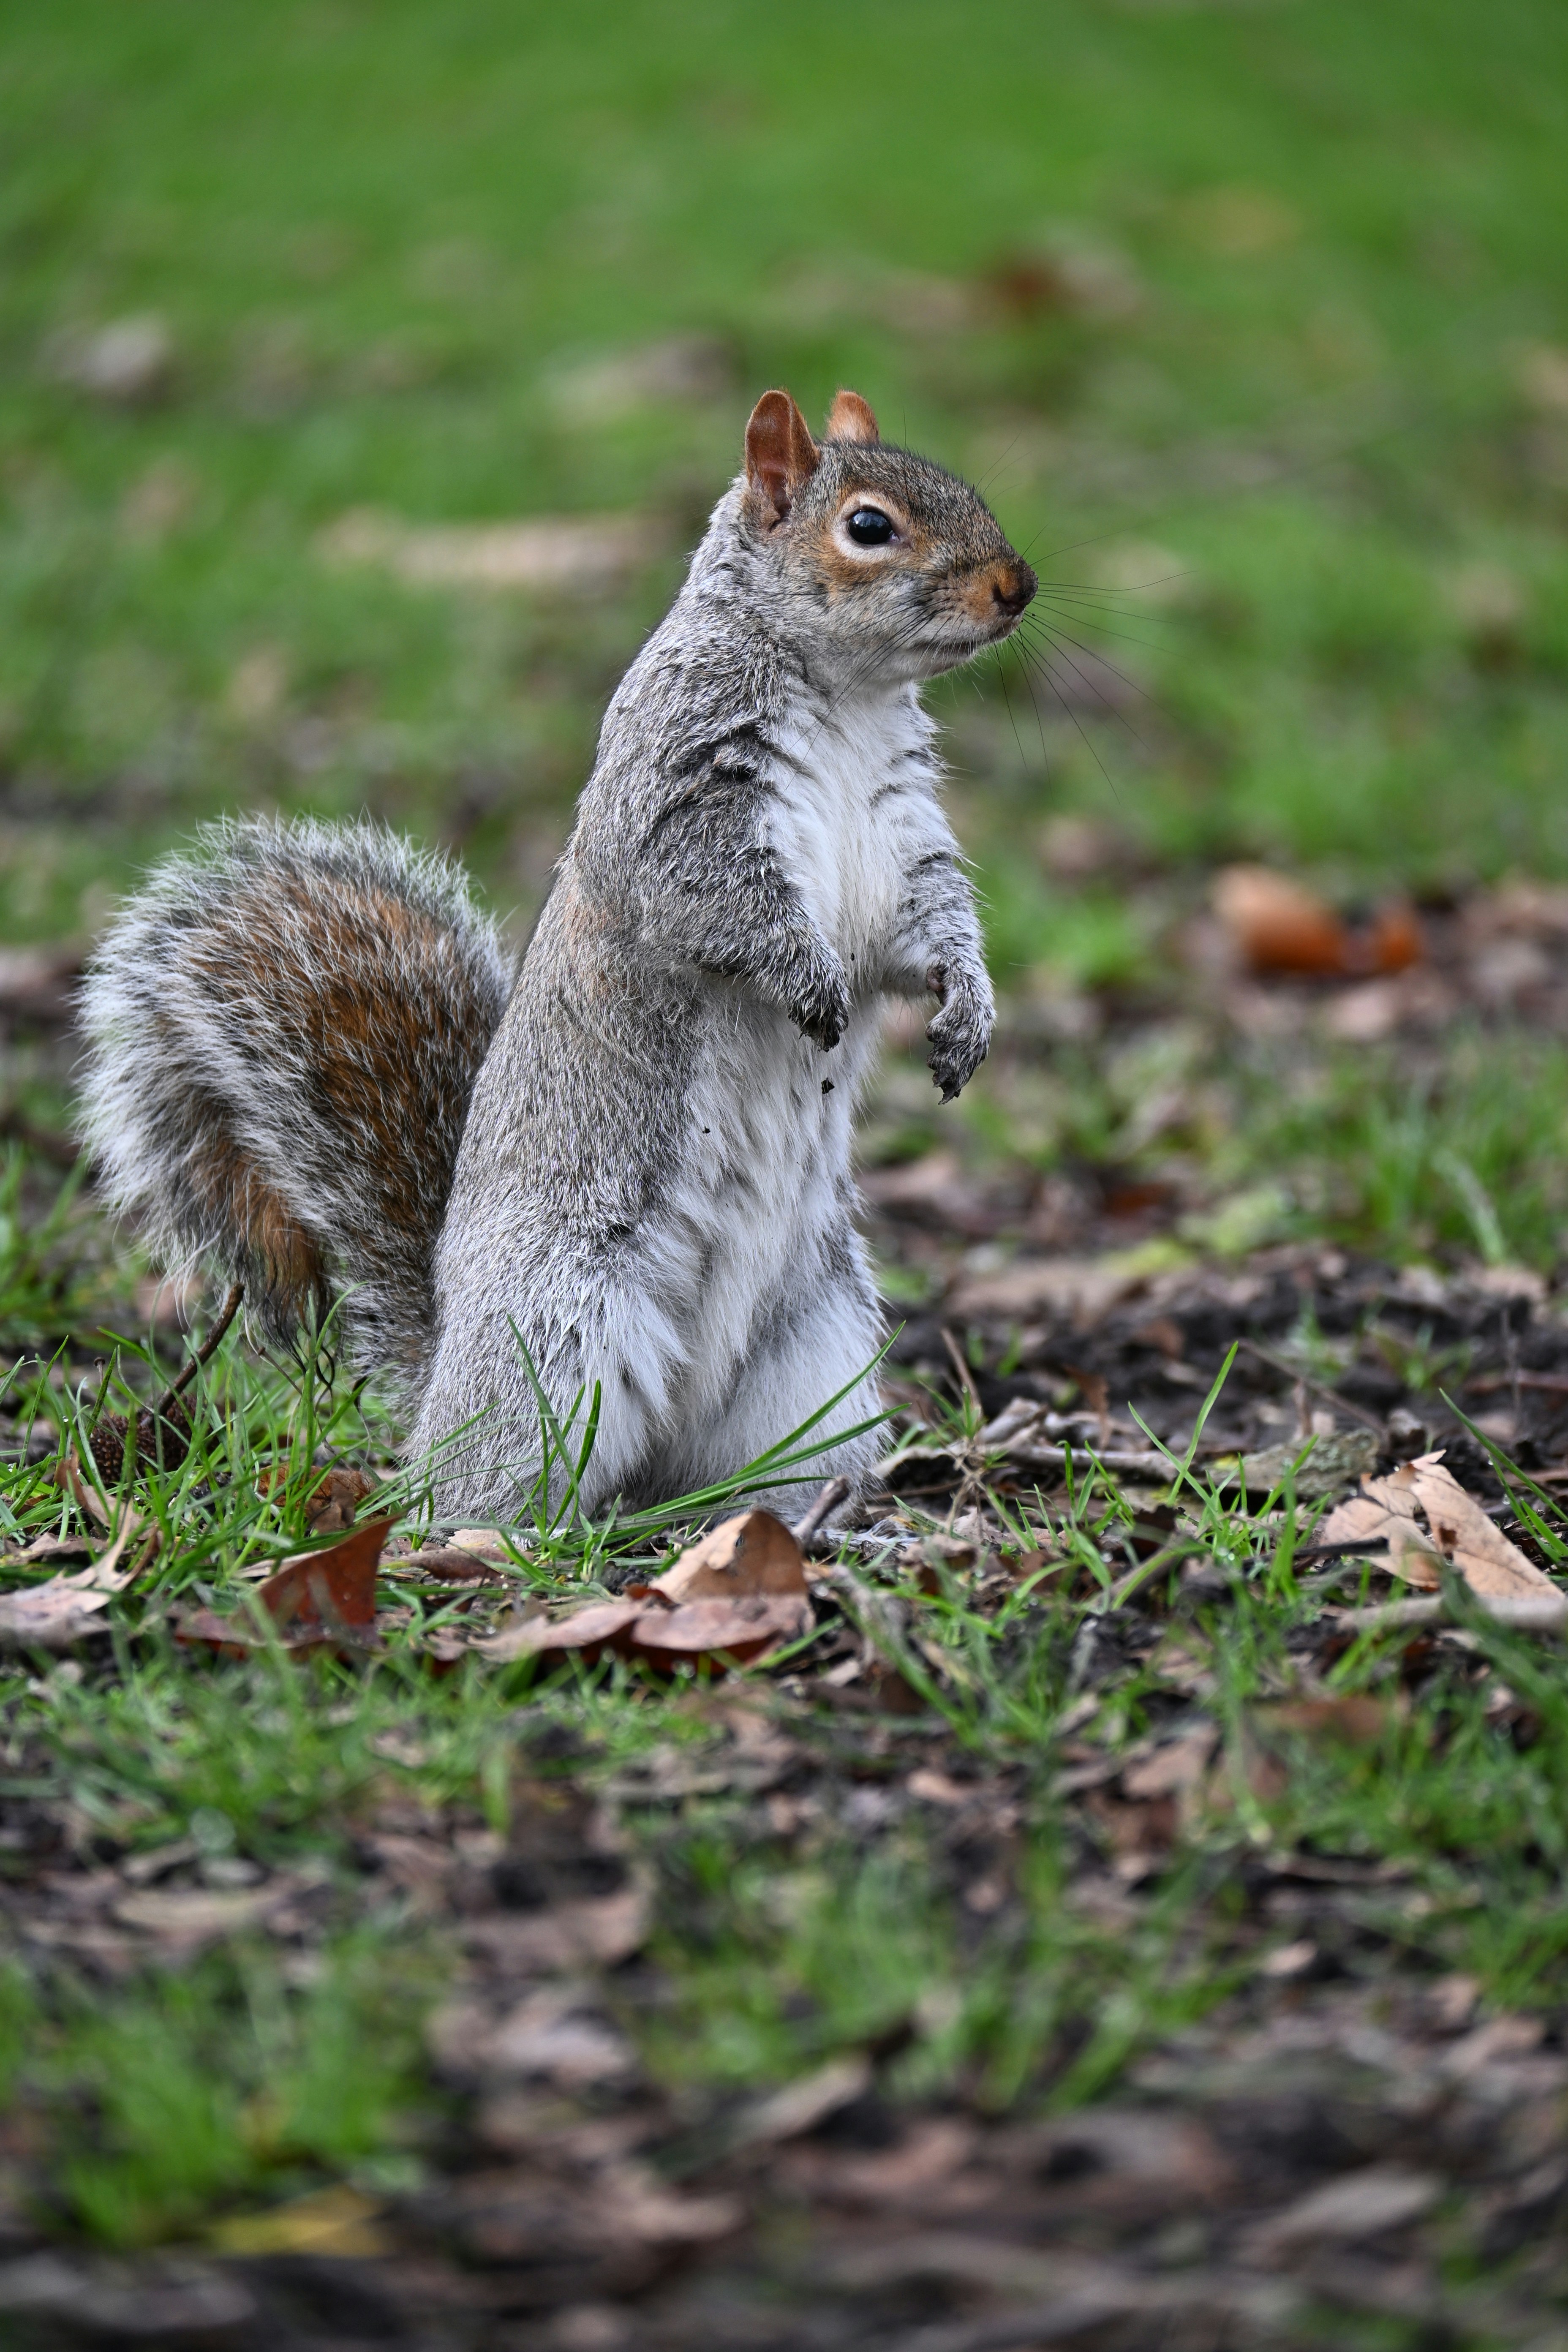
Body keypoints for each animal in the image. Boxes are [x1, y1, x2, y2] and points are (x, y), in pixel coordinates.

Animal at [79, 388, 1036, 1523]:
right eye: (869, 527)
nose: (1016, 587)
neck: (849, 696)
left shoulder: (903, 842)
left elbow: (928, 932)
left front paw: (967, 1011)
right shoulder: (679, 798)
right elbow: (716, 905)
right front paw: (810, 985)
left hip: (818, 1350)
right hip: (559, 1328)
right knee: (480, 1486)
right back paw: (510, 1533)